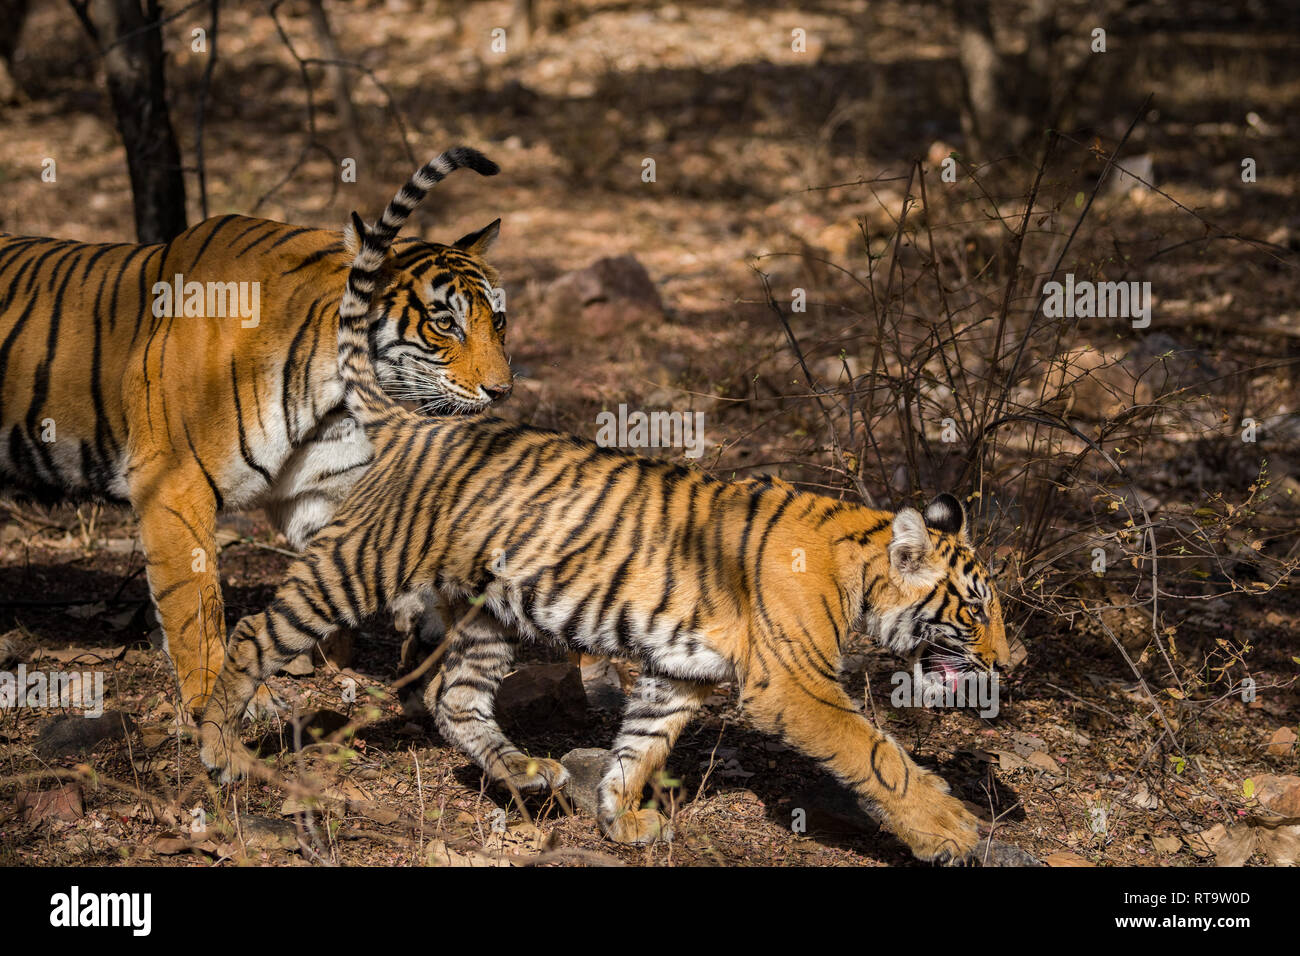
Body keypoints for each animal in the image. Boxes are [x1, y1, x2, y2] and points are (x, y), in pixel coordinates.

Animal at [0, 146, 511, 715]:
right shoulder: (173, 485)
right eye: (445, 324)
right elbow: (197, 607)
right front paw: (218, 700)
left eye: (498, 322)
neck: (331, 394)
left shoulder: (323, 491)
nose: (502, 391)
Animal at [198, 195, 1015, 864]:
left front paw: (619, 819)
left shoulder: (680, 675)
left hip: (487, 612)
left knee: (453, 696)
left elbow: (639, 748)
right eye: (973, 610)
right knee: (251, 637)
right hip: (351, 570)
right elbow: (880, 754)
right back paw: (220, 751)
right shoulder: (795, 686)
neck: (857, 573)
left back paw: (528, 771)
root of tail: (410, 420)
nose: (1013, 664)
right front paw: (953, 830)